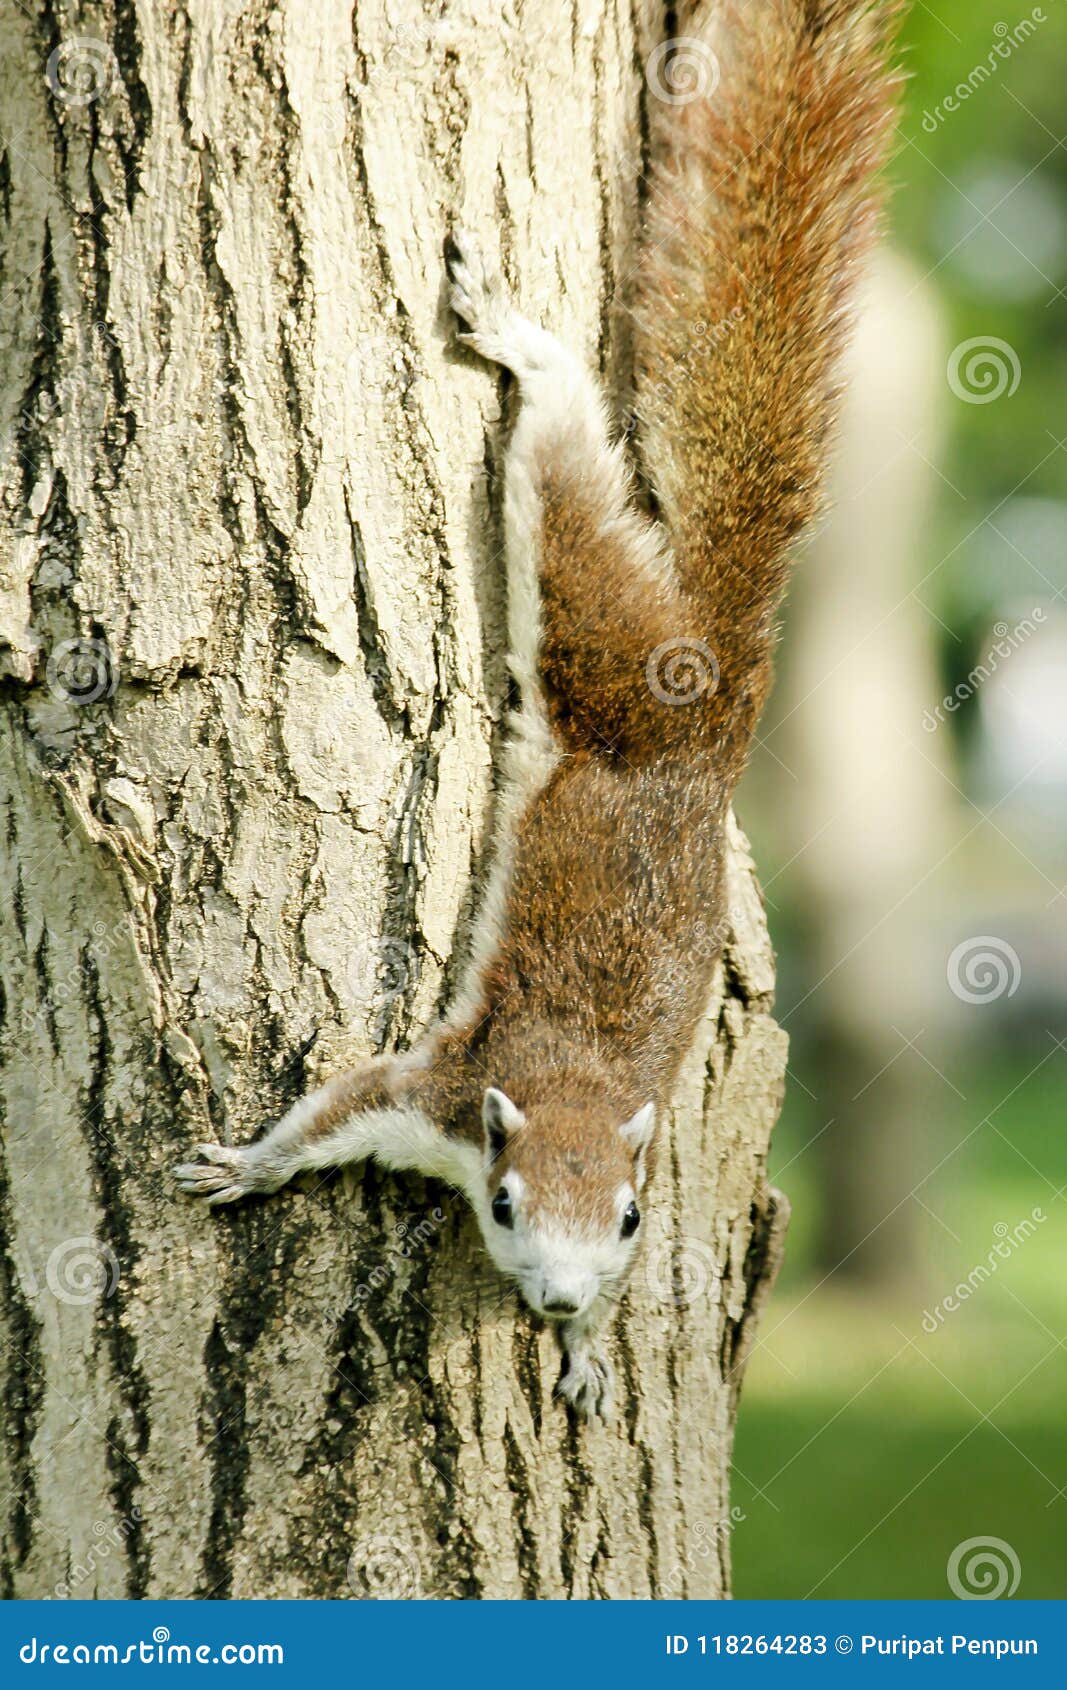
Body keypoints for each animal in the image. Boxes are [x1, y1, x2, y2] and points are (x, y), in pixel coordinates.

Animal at [176, 0, 900, 1419]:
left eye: (626, 1221)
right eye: (504, 1203)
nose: (560, 1296)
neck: (572, 1084)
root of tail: (715, 698)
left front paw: (585, 1353)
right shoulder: (436, 1091)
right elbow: (328, 1113)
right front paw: (249, 1163)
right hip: (594, 638)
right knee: (564, 461)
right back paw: (519, 334)